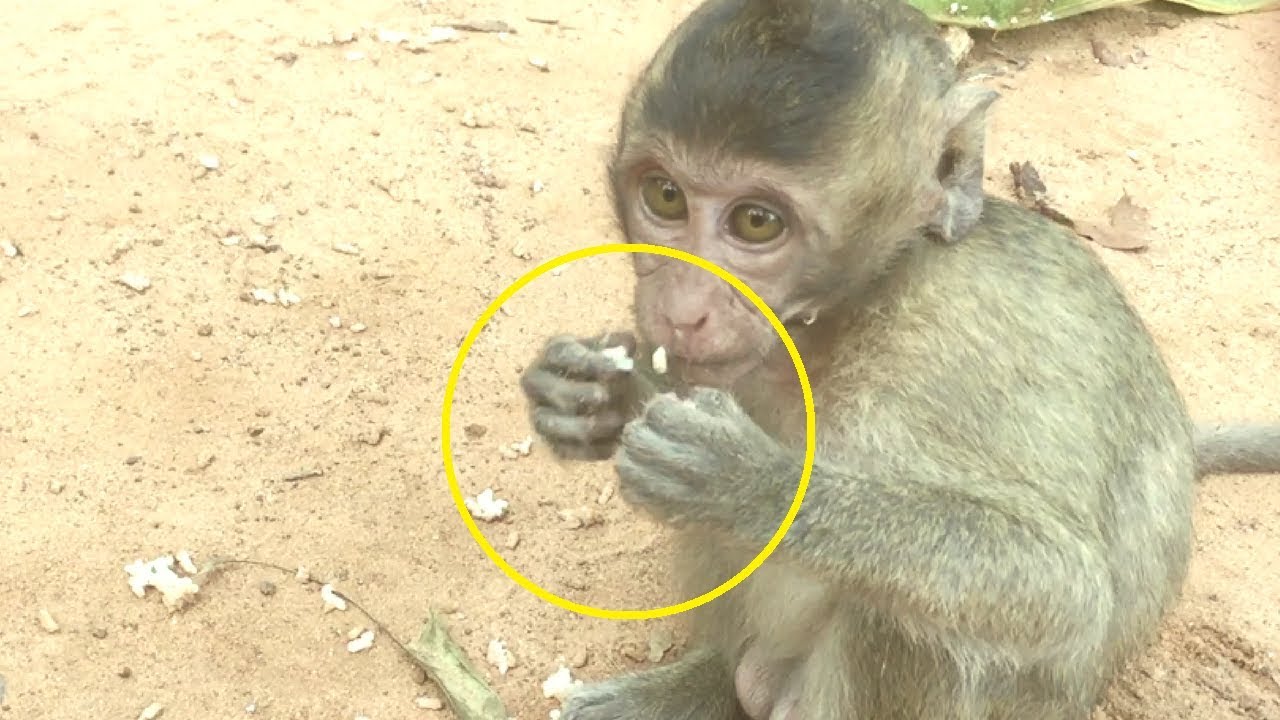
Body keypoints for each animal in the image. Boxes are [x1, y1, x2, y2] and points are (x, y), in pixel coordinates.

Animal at [517, 0, 1280, 717]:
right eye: (665, 196)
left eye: (756, 223)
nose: (681, 307)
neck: (851, 308)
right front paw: (594, 394)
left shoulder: (954, 344)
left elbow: (1060, 585)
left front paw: (748, 484)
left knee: (914, 620)